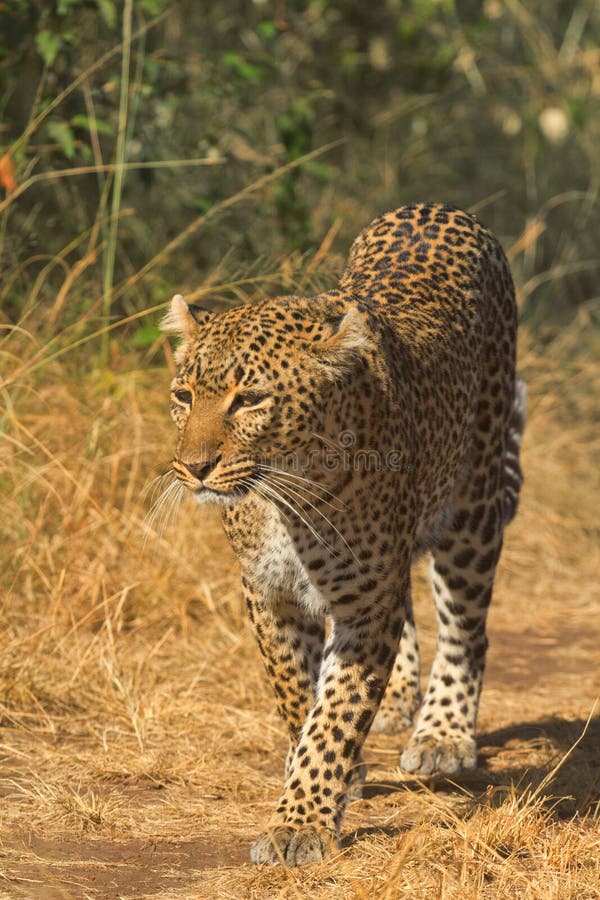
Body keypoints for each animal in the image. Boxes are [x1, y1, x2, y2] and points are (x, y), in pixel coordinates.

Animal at [160, 202, 525, 866]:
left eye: (250, 399)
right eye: (183, 395)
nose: (193, 467)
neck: (285, 495)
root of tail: (438, 207)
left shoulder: (365, 599)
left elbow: (334, 714)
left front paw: (300, 822)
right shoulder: (268, 592)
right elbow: (295, 691)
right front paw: (333, 778)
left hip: (472, 510)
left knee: (466, 630)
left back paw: (443, 733)